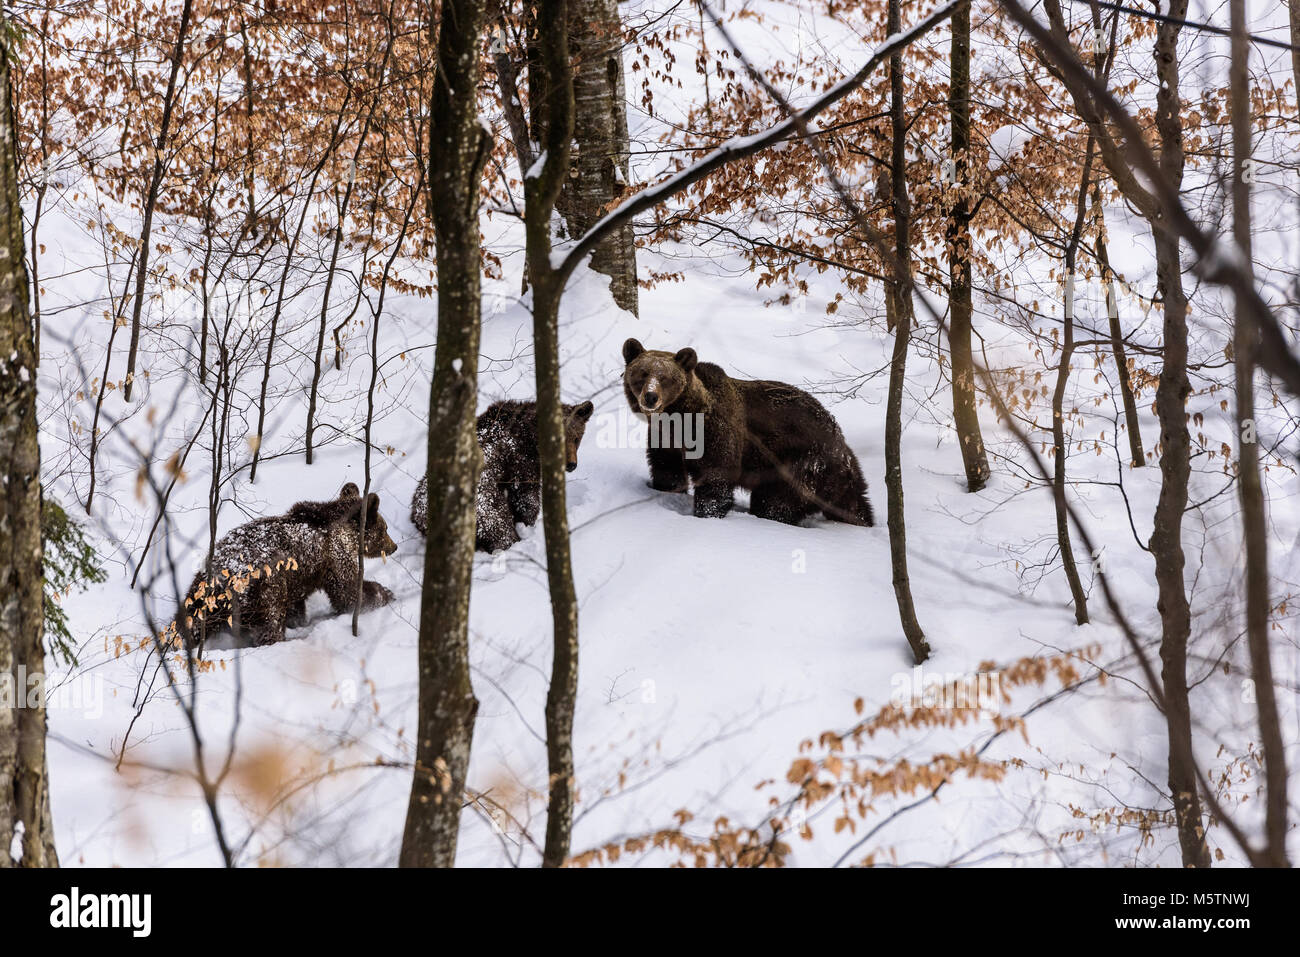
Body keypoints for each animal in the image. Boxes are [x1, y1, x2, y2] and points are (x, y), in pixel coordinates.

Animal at [173, 481, 398, 648]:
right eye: (385, 528)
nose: (394, 546)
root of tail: (222, 575)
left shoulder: (299, 576)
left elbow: (299, 604)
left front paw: (298, 619)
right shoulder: (335, 555)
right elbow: (348, 591)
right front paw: (384, 593)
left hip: (202, 590)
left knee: (189, 616)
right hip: (265, 585)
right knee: (270, 619)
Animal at [410, 399, 595, 553]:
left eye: (576, 438)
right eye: (558, 439)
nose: (571, 464)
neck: (531, 439)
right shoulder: (520, 462)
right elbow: (526, 498)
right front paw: (528, 523)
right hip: (483, 505)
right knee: (500, 530)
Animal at [621, 338, 873, 526]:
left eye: (665, 378)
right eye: (642, 373)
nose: (650, 397)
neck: (681, 417)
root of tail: (842, 446)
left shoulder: (716, 432)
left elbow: (716, 476)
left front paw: (707, 512)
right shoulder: (665, 437)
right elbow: (667, 469)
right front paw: (665, 490)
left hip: (799, 463)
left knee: (775, 503)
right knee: (855, 503)